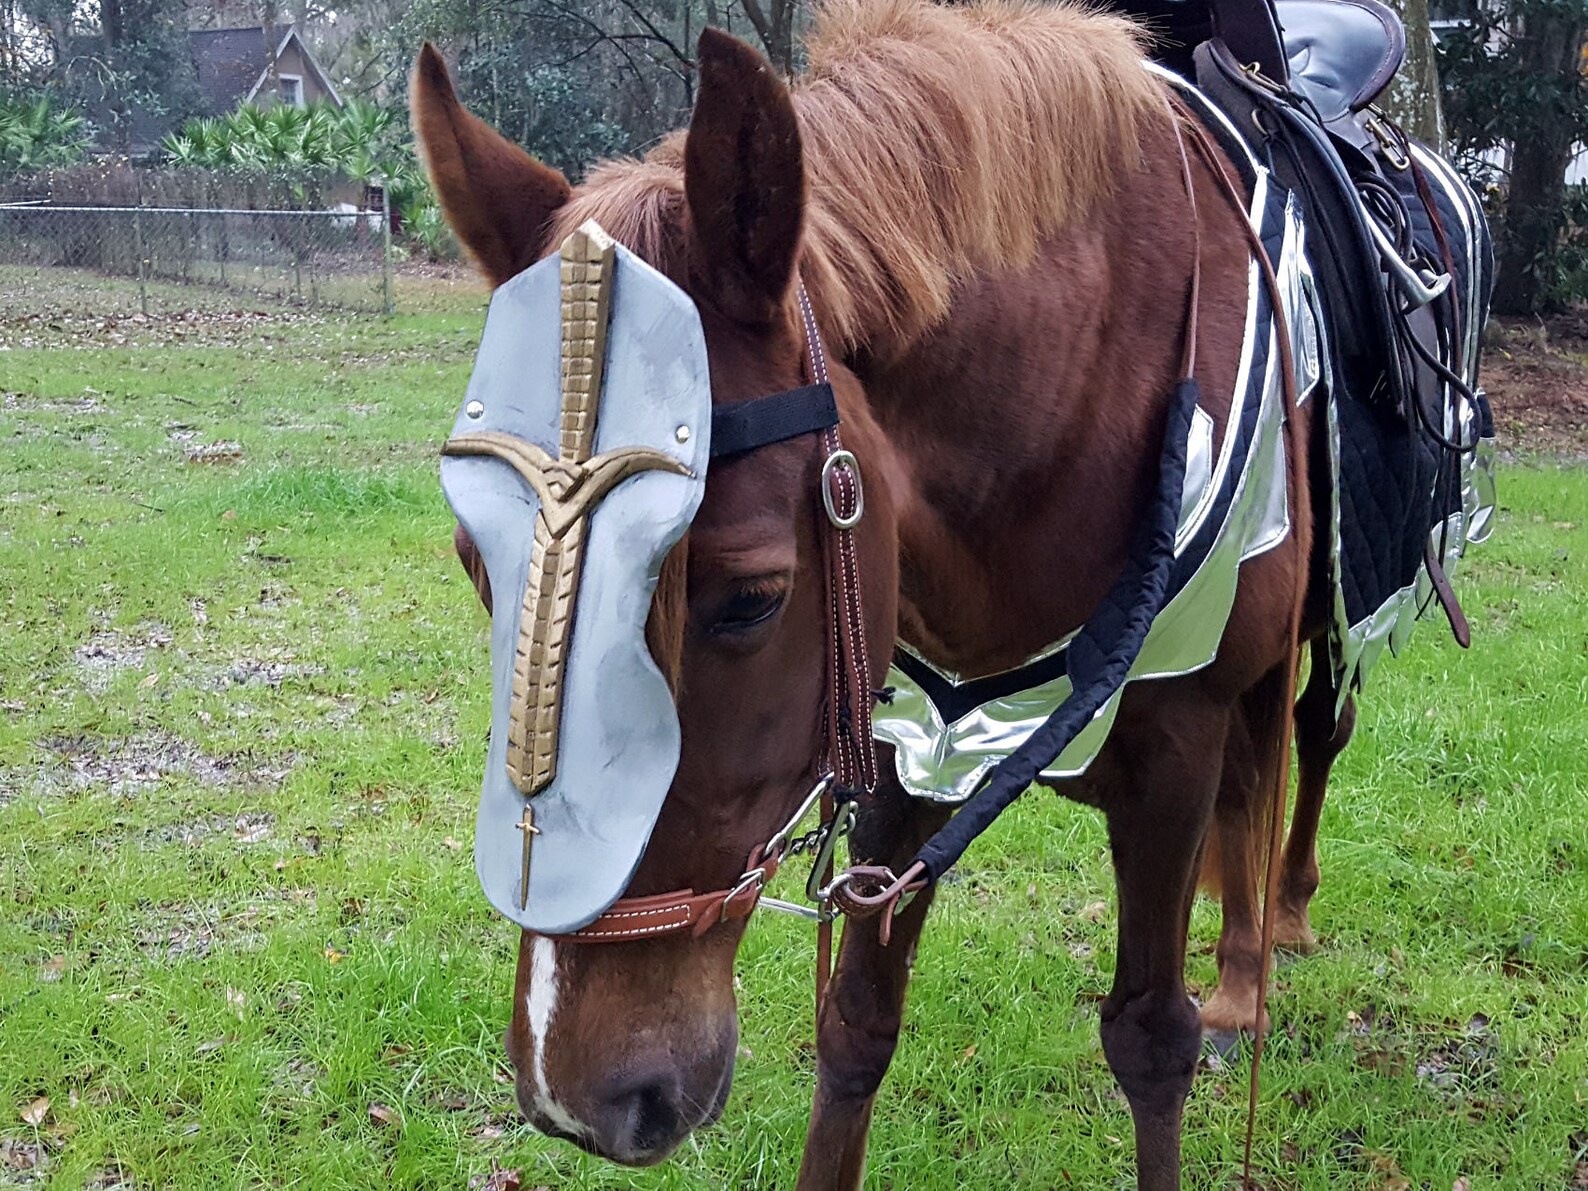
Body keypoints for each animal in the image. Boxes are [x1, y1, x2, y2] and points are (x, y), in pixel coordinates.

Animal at [414, 1, 1359, 1184]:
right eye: (474, 565)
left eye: (751, 598)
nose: (579, 1097)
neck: (1081, 396)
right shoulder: (908, 735)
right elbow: (856, 1025)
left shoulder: (1174, 742)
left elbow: (1150, 1040)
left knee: (1303, 738)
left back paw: (1268, 938)